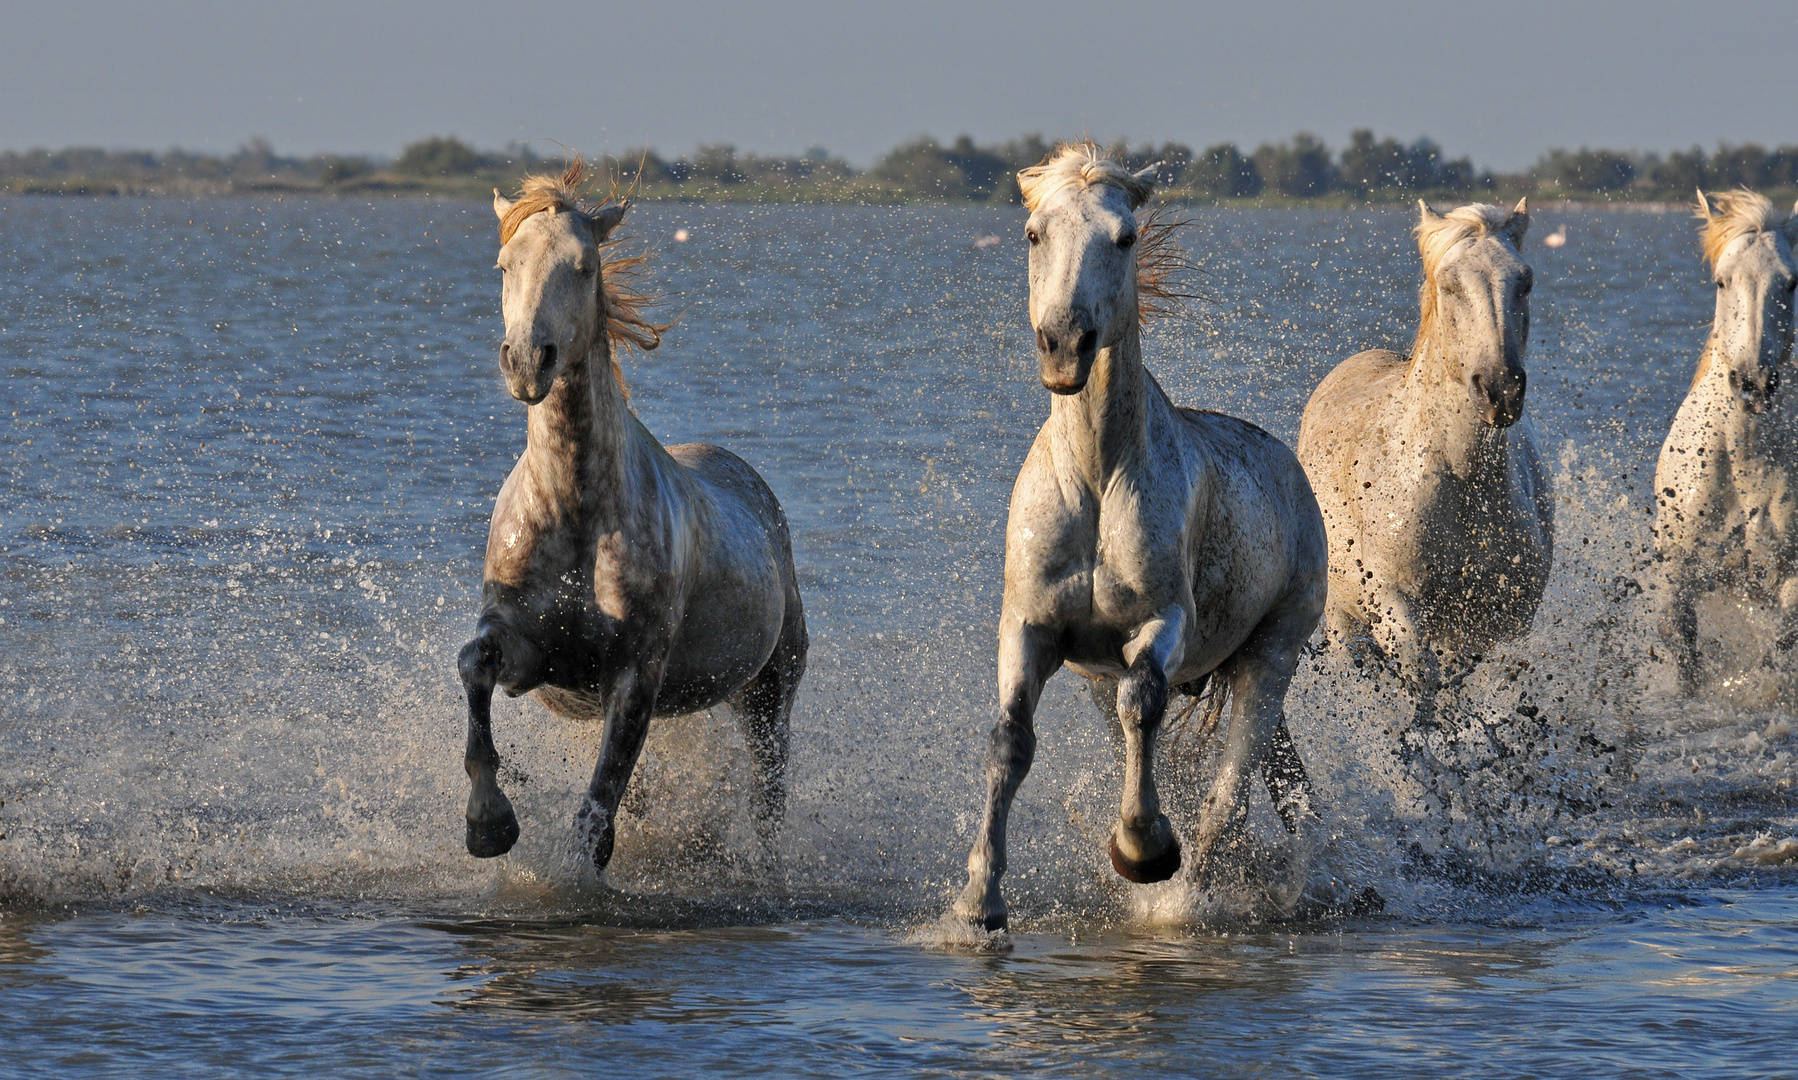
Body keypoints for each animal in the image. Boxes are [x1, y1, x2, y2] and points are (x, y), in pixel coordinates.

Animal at [458, 162, 808, 871]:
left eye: (585, 265)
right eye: (504, 264)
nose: (528, 361)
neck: (576, 513)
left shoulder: (635, 677)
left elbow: (594, 817)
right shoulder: (529, 654)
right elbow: (473, 664)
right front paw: (489, 822)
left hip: (768, 696)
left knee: (767, 794)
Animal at [951, 144, 1329, 932]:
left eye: (1124, 238)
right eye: (1033, 233)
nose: (1065, 344)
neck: (1097, 480)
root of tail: (1288, 467)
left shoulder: (1162, 624)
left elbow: (1143, 704)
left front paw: (1143, 848)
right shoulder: (1029, 626)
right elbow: (1010, 741)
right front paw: (979, 901)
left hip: (1273, 652)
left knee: (1229, 791)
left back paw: (1189, 899)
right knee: (1272, 782)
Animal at [1297, 199, 1553, 694]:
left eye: (1525, 280)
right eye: (1450, 284)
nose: (1501, 390)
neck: (1462, 483)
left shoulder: (1504, 621)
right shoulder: (1394, 607)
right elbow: (1424, 688)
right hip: (1341, 619)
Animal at [1655, 189, 1798, 693]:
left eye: (1791, 283)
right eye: (1721, 281)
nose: (1754, 382)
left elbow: (1776, 650)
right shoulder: (1678, 576)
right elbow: (1685, 656)